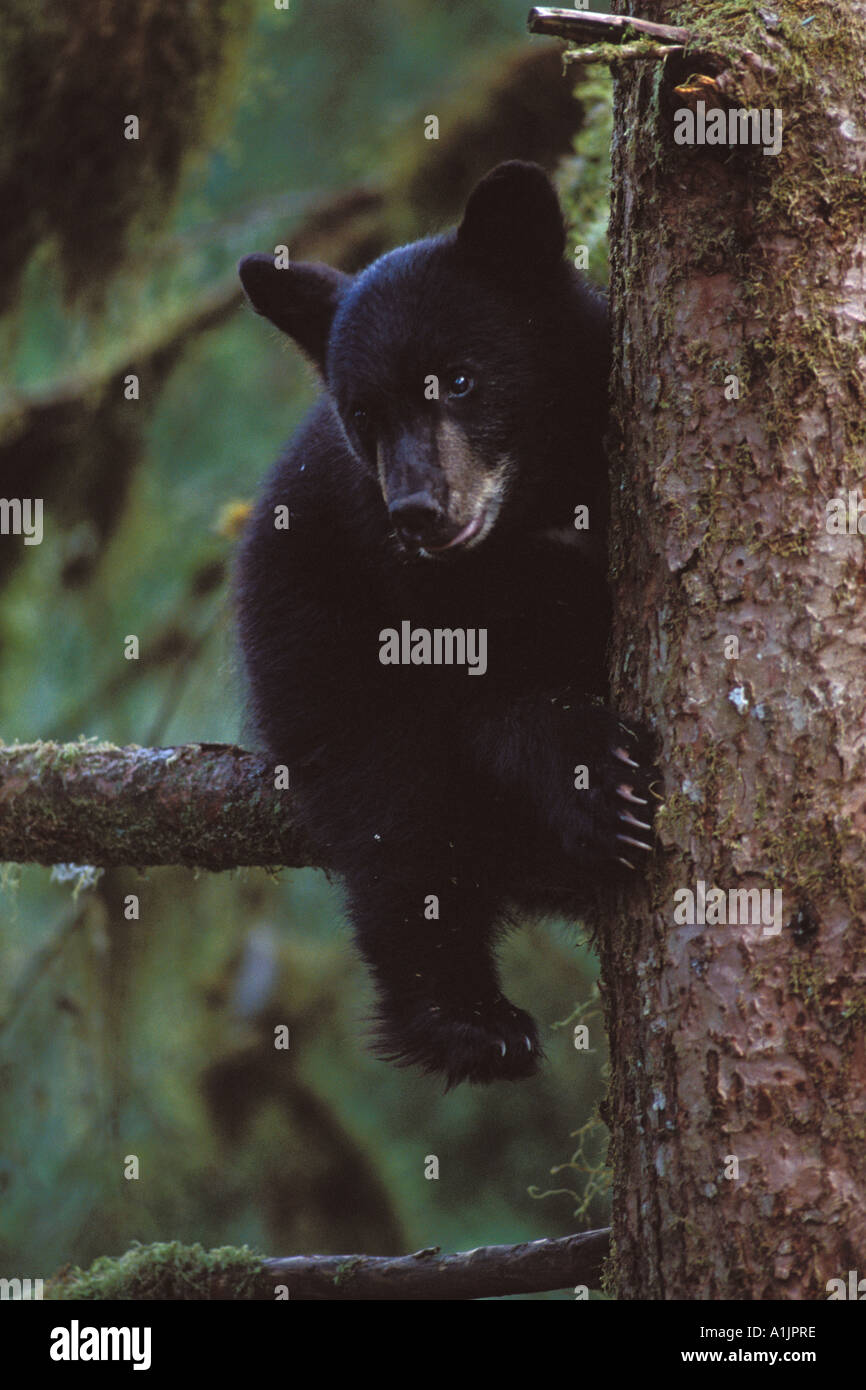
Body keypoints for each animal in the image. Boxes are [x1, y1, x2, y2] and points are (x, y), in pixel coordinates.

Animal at [235, 161, 654, 1088]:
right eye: (363, 412)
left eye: (459, 378)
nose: (419, 511)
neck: (536, 513)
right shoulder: (391, 592)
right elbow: (482, 708)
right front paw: (595, 777)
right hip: (305, 648)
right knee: (399, 827)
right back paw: (466, 1021)